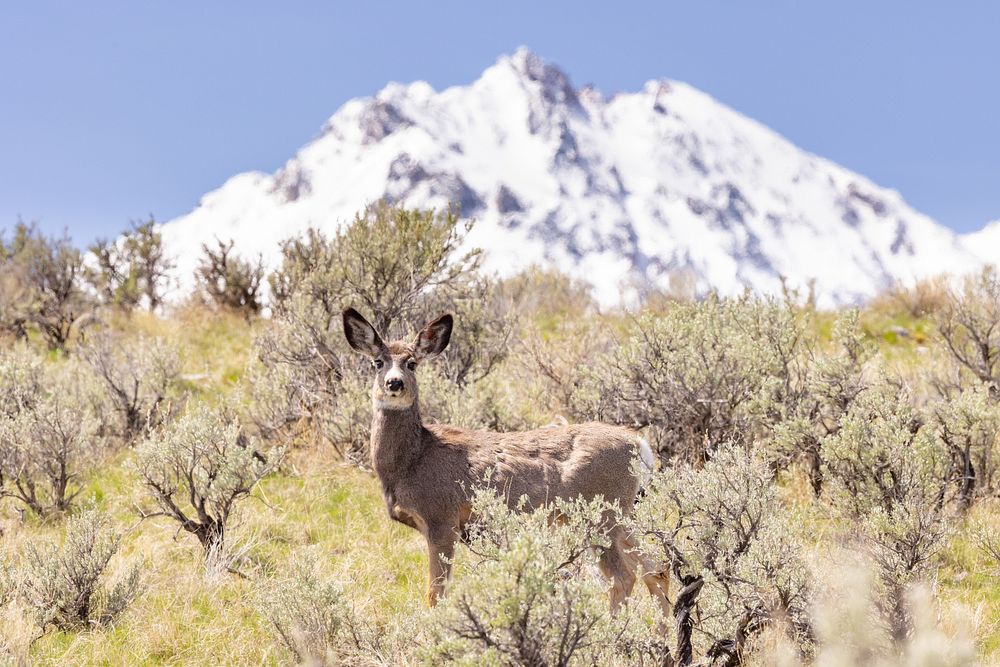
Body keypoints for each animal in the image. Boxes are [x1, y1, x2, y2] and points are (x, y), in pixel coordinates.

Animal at [342, 307, 671, 614]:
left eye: (412, 362)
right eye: (377, 362)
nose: (394, 383)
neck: (413, 460)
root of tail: (640, 446)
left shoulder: (441, 519)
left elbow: (435, 595)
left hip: (600, 513)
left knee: (623, 577)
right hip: (623, 514)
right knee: (656, 567)